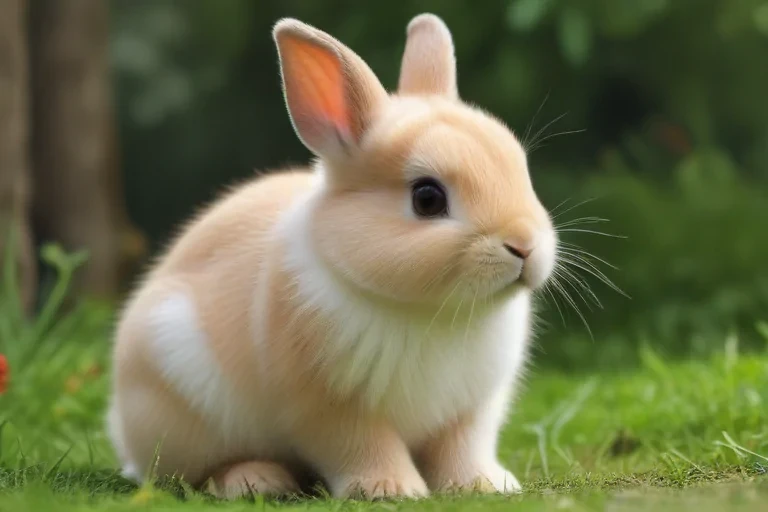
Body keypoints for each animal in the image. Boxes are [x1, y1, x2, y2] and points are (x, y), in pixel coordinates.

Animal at [106, 13, 557, 501]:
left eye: (520, 168)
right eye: (427, 199)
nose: (525, 244)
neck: (432, 311)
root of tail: (122, 430)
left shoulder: (471, 410)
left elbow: (463, 449)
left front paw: (485, 485)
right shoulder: (331, 407)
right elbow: (364, 445)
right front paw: (390, 488)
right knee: (194, 471)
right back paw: (256, 480)